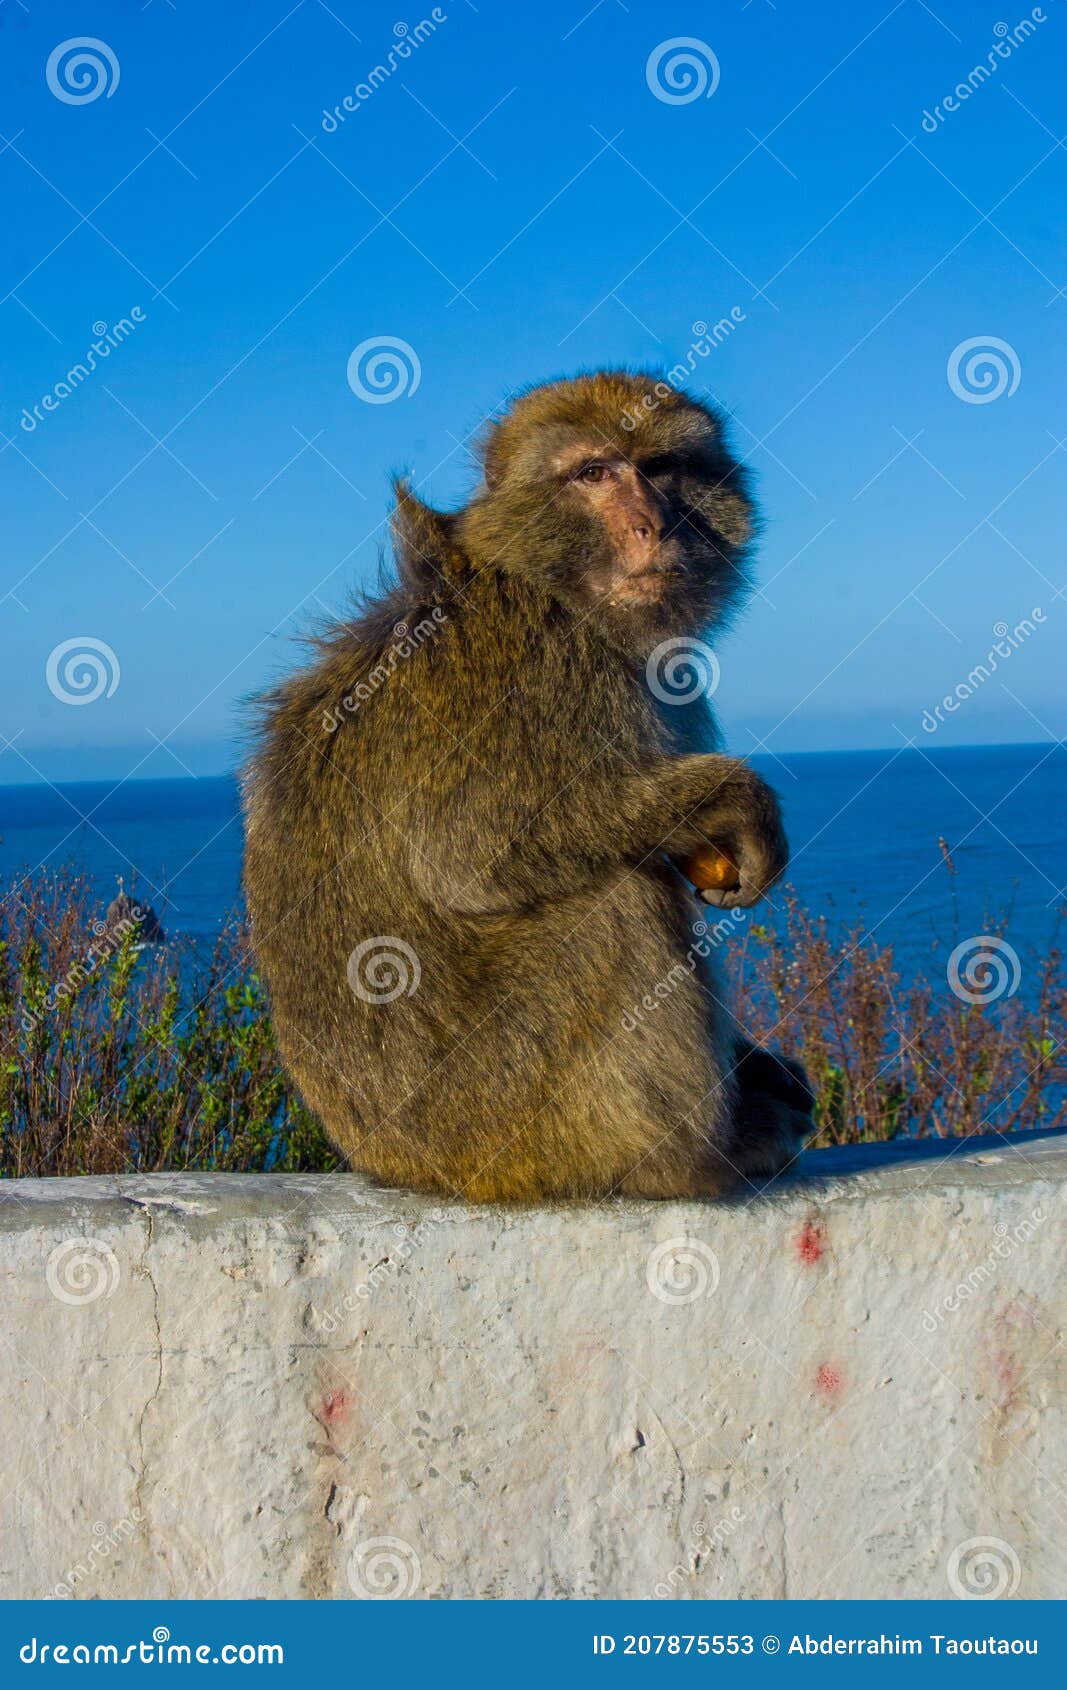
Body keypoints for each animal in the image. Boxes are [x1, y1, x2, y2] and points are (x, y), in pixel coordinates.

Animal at [243, 370, 814, 1203]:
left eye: (662, 467)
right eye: (593, 473)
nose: (650, 524)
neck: (546, 585)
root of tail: (392, 1161)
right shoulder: (540, 666)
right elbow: (474, 851)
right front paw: (733, 799)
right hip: (503, 1112)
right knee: (615, 902)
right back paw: (691, 1159)